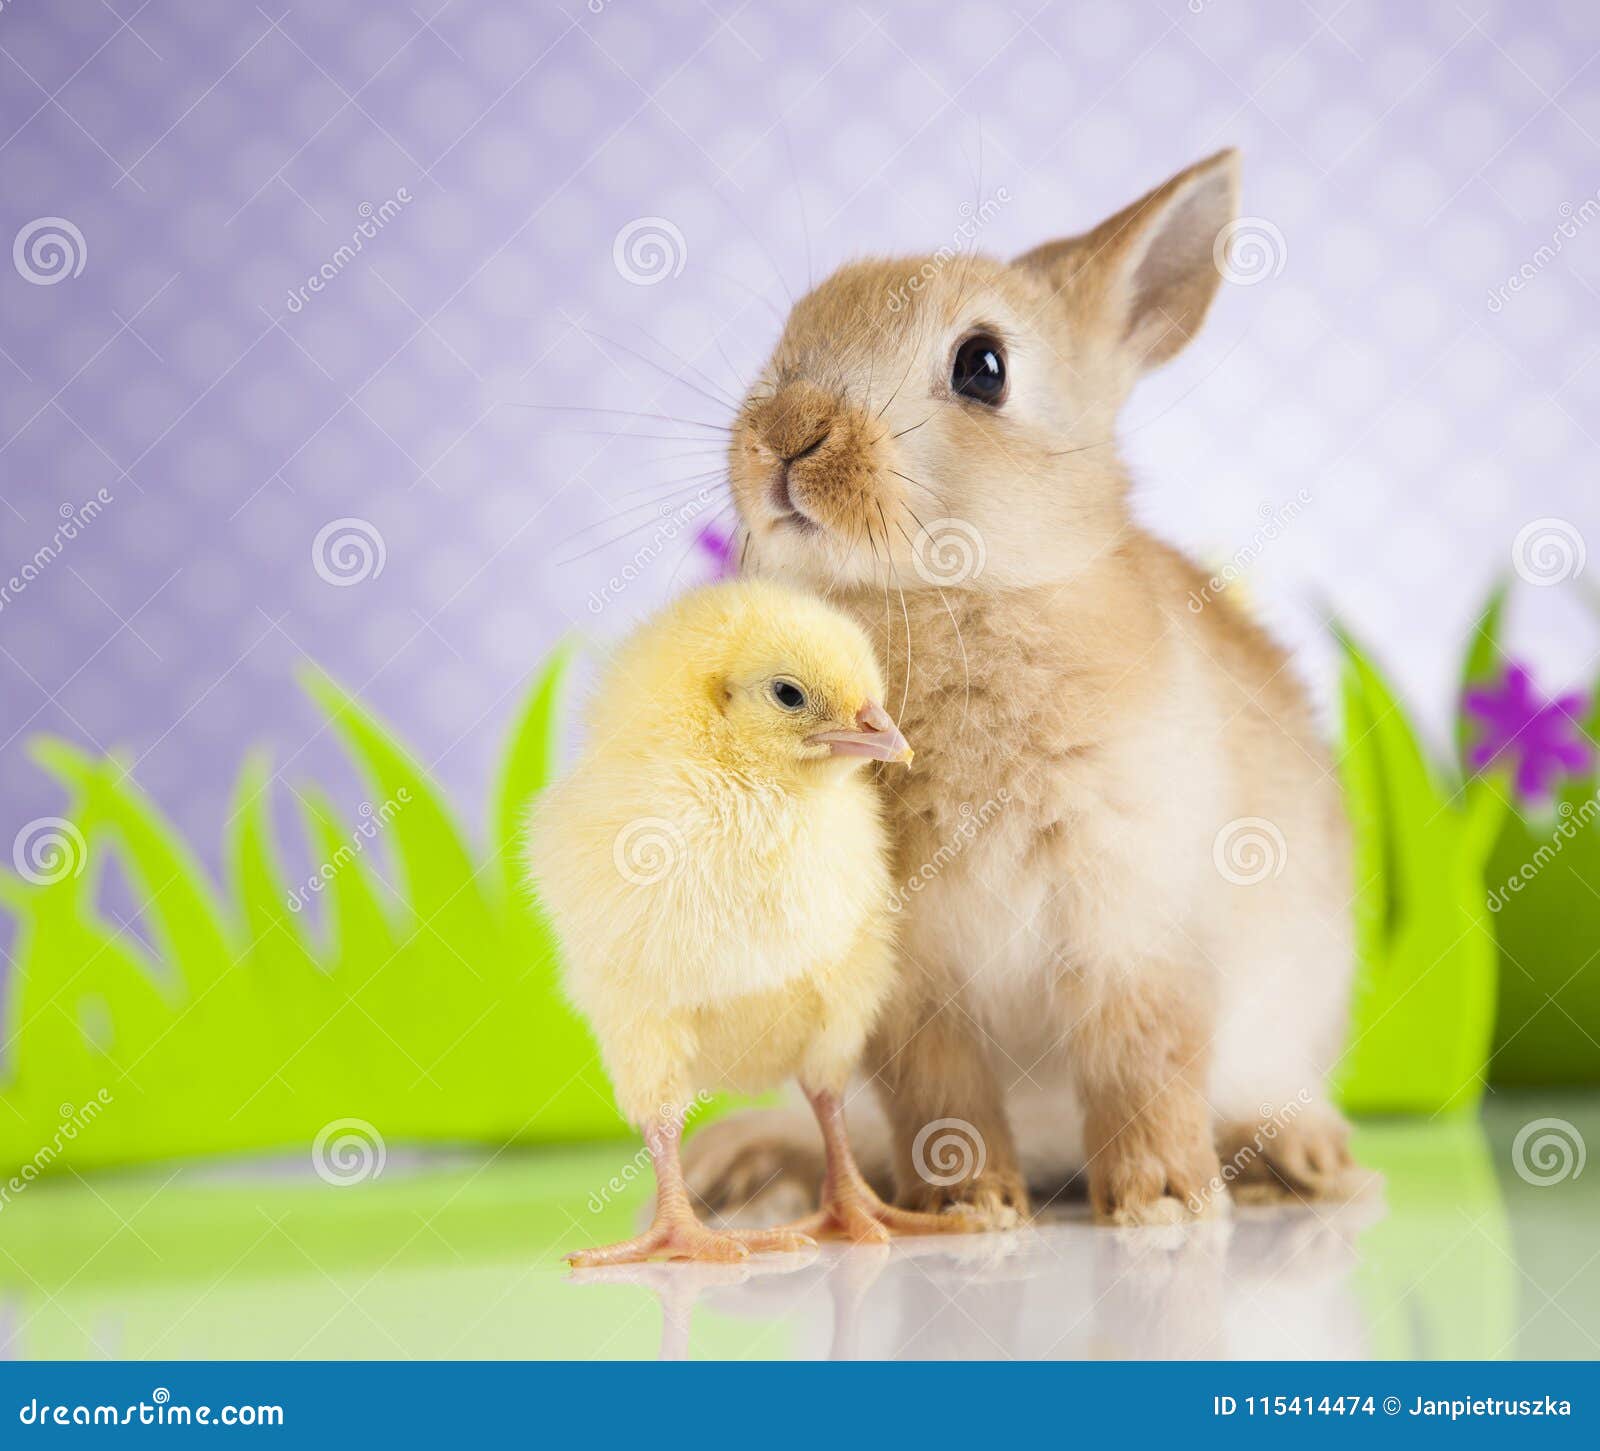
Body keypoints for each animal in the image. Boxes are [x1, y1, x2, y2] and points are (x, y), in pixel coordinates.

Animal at [683, 149, 1362, 1227]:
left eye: (983, 367)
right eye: (792, 330)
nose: (785, 433)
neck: (952, 596)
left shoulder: (1134, 923)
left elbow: (1145, 1060)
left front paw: (1164, 1202)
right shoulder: (906, 984)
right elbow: (941, 1092)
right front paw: (971, 1205)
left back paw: (1295, 1162)